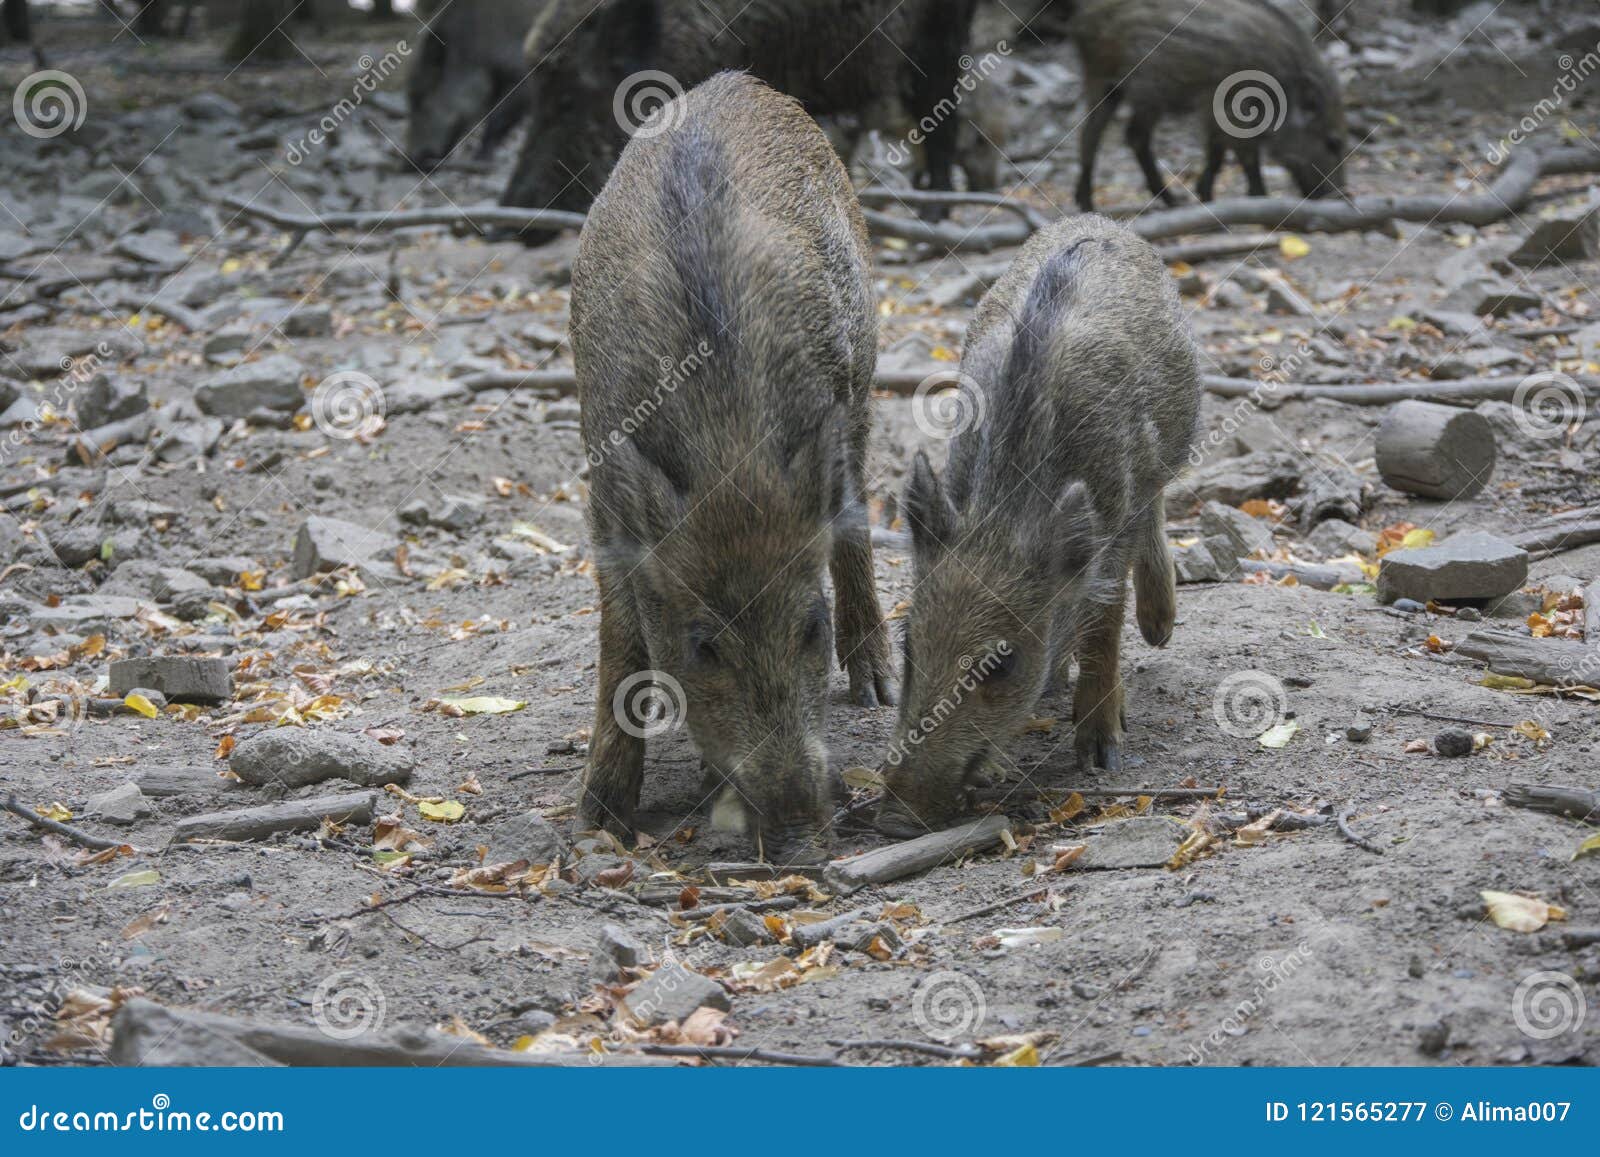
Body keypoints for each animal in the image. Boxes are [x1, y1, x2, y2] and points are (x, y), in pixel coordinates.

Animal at [570, 71, 895, 860]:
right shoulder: (606, 494)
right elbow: (621, 637)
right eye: (704, 646)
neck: (727, 446)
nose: (804, 834)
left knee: (854, 519)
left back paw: (878, 690)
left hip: (860, 383)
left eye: (811, 627)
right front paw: (599, 819)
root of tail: (737, 81)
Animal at [877, 215, 1199, 836]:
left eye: (1002, 664)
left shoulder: (1110, 526)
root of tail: (1104, 222)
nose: (896, 817)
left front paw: (1101, 754)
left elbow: (1102, 624)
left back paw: (1159, 631)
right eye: (908, 646)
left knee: (1156, 508)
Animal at [1061, 0, 1347, 211]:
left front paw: (1206, 197)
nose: (1341, 196)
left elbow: (1217, 153)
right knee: (1124, 136)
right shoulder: (1225, 106)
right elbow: (1242, 155)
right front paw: (1259, 199)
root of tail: (1079, 21)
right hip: (1132, 86)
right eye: (1332, 142)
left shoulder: (1217, 112)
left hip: (1113, 86)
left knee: (1096, 134)